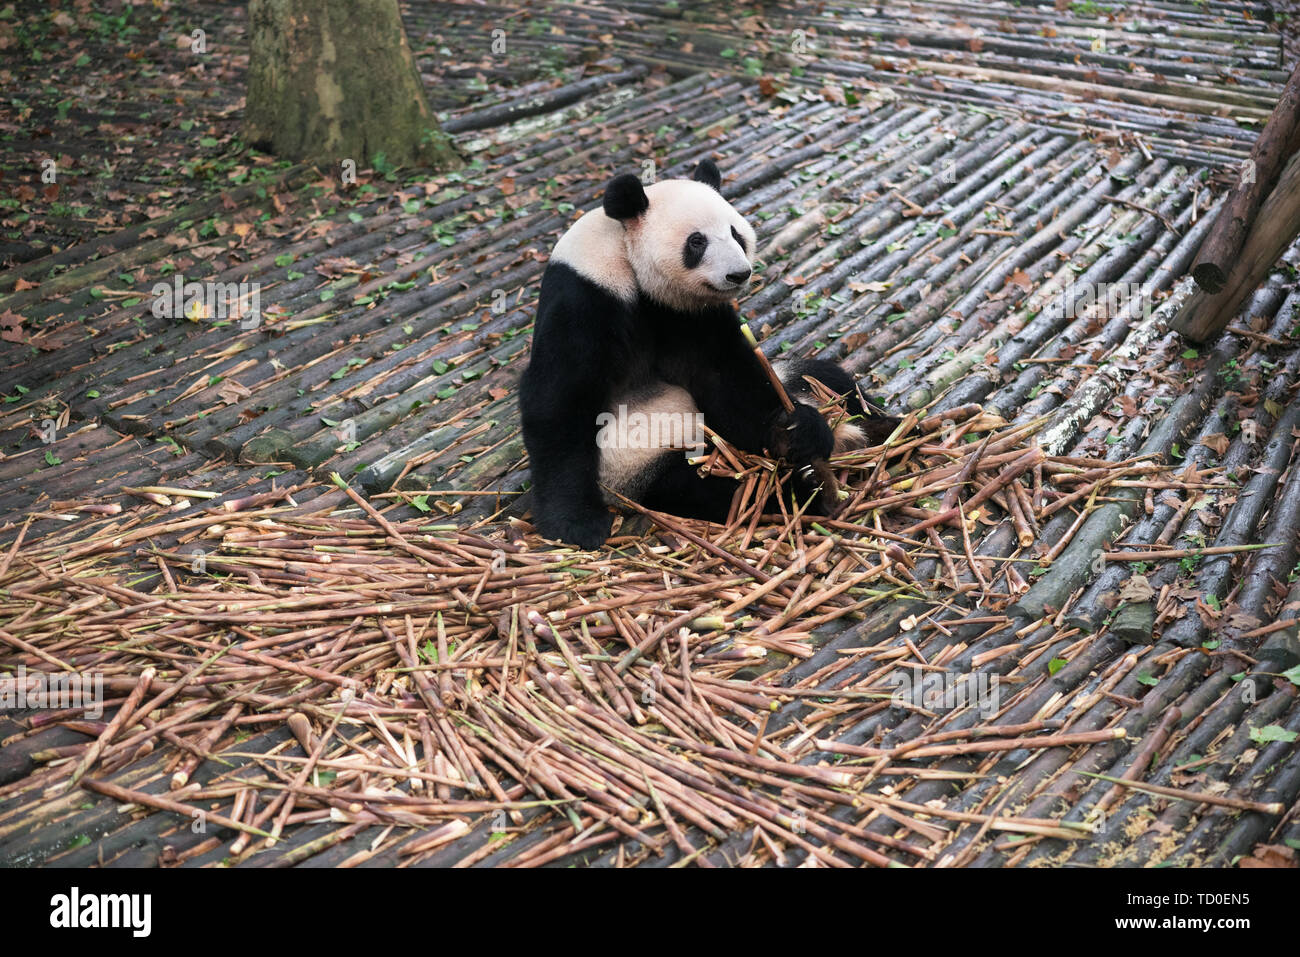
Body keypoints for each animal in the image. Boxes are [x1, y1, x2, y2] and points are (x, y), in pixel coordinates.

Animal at [519, 159, 897, 549]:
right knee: (709, 488)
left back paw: (881, 427)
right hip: (641, 464)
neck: (626, 258)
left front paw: (797, 430)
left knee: (829, 378)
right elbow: (558, 401)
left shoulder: (686, 315)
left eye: (736, 233)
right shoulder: (586, 297)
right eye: (697, 241)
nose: (739, 274)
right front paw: (576, 524)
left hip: (789, 378)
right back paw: (808, 488)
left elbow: (726, 377)